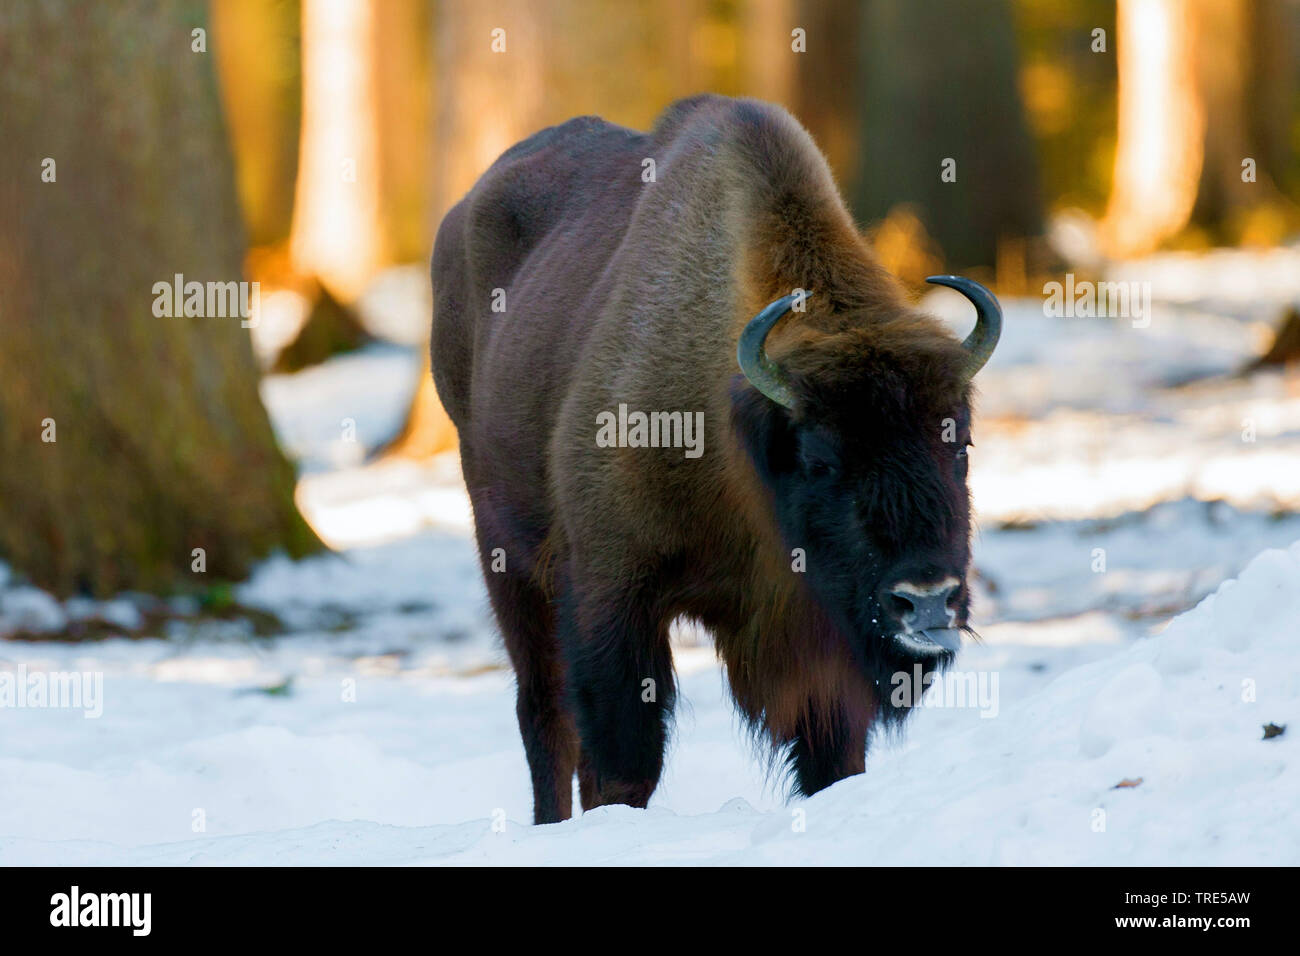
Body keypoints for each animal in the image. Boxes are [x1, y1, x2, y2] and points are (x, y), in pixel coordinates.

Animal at [431, 95, 1002, 824]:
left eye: (961, 442)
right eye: (820, 458)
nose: (927, 600)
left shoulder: (815, 641)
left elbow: (832, 756)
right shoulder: (612, 589)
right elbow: (624, 759)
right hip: (509, 559)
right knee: (545, 715)